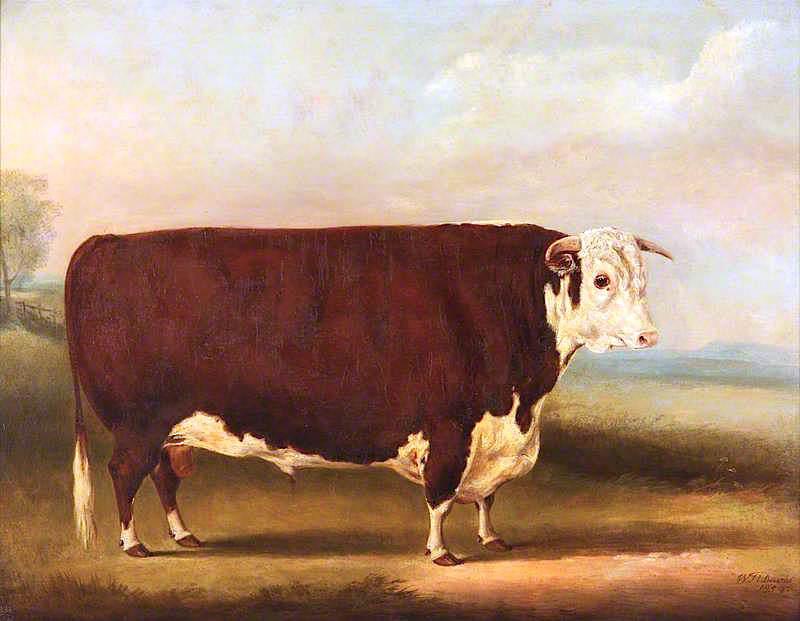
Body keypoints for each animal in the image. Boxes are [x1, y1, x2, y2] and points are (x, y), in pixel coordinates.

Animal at [67, 224, 671, 565]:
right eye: (600, 279)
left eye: (643, 278)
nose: (649, 336)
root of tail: (105, 243)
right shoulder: (451, 426)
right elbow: (441, 495)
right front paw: (441, 552)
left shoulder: (493, 432)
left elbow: (487, 495)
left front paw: (491, 538)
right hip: (139, 423)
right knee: (124, 472)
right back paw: (133, 544)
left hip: (171, 429)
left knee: (164, 476)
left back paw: (184, 534)